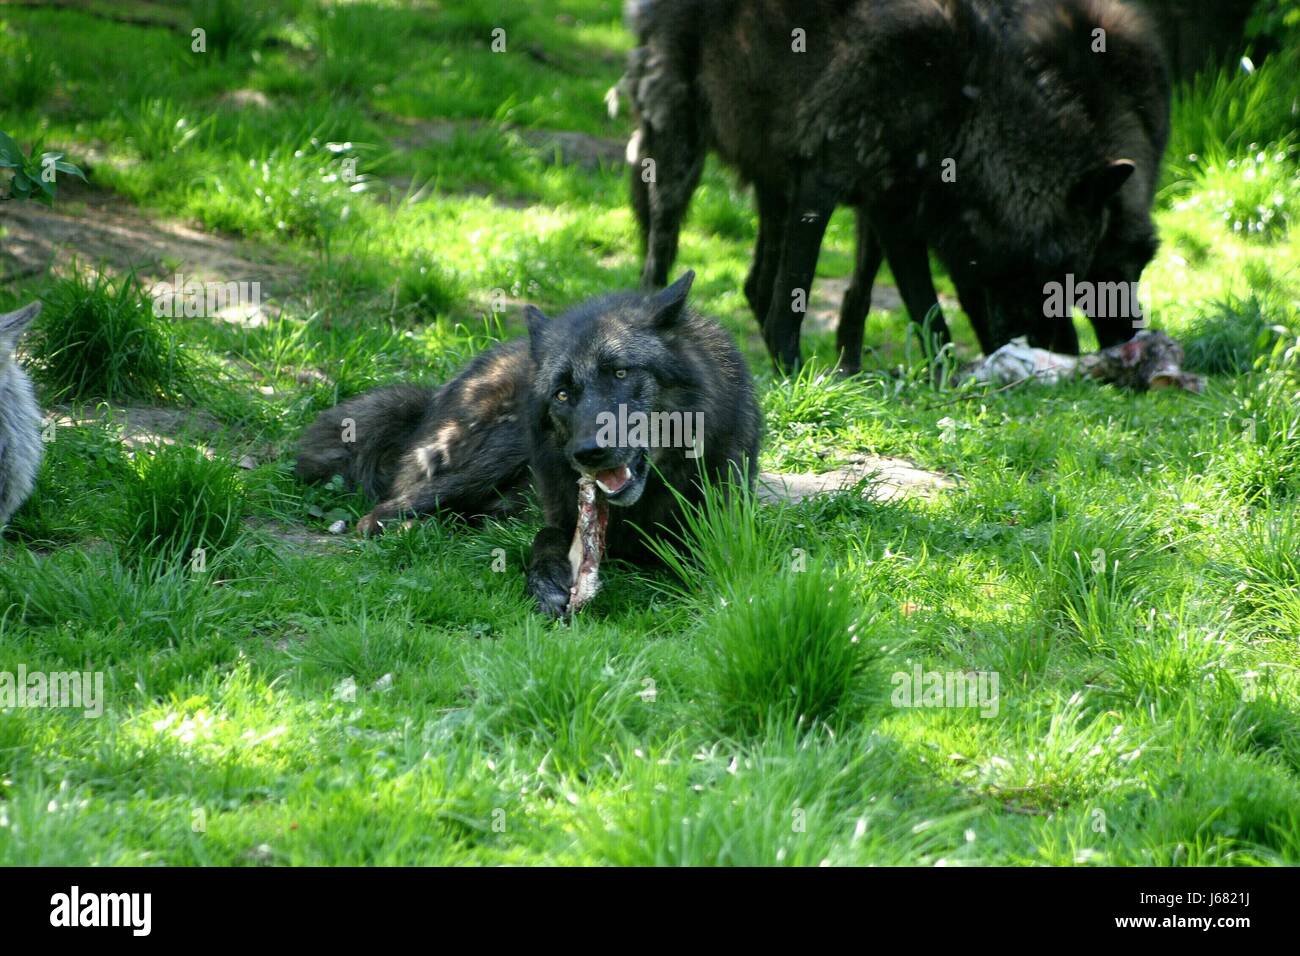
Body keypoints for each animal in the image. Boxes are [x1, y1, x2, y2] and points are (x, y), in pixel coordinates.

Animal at [295, 272, 761, 616]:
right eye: (562, 394)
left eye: (621, 373)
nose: (589, 452)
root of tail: (431, 398)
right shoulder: (562, 517)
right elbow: (542, 538)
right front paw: (545, 581)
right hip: (498, 454)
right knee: (382, 511)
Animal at [624, 0, 1170, 370]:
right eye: (1062, 273)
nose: (1062, 350)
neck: (962, 108)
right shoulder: (824, 186)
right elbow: (798, 294)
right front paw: (795, 370)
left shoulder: (895, 211)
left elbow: (919, 305)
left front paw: (943, 375)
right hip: (681, 153)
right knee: (660, 255)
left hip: (770, 179)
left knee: (755, 283)